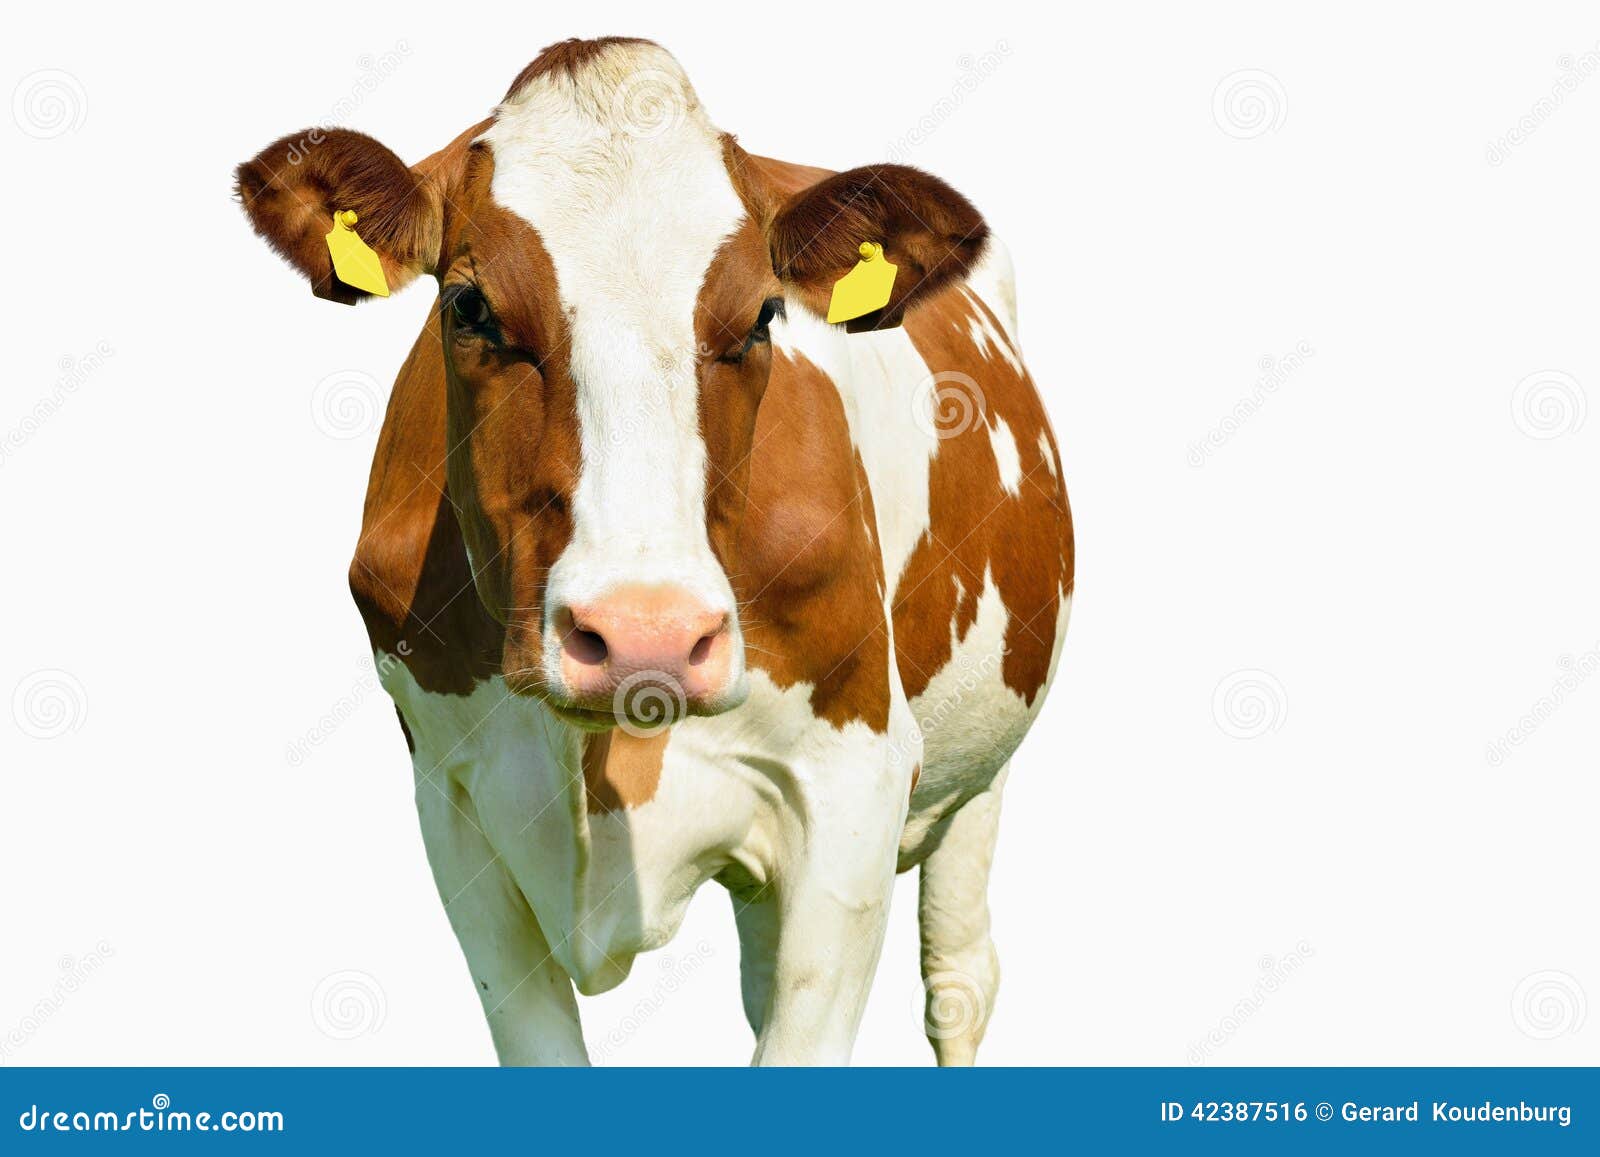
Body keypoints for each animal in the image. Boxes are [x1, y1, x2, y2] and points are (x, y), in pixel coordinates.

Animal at [236, 36, 1073, 1065]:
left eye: (762, 316)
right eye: (469, 306)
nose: (648, 638)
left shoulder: (855, 785)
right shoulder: (455, 803)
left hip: (982, 762)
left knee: (959, 985)